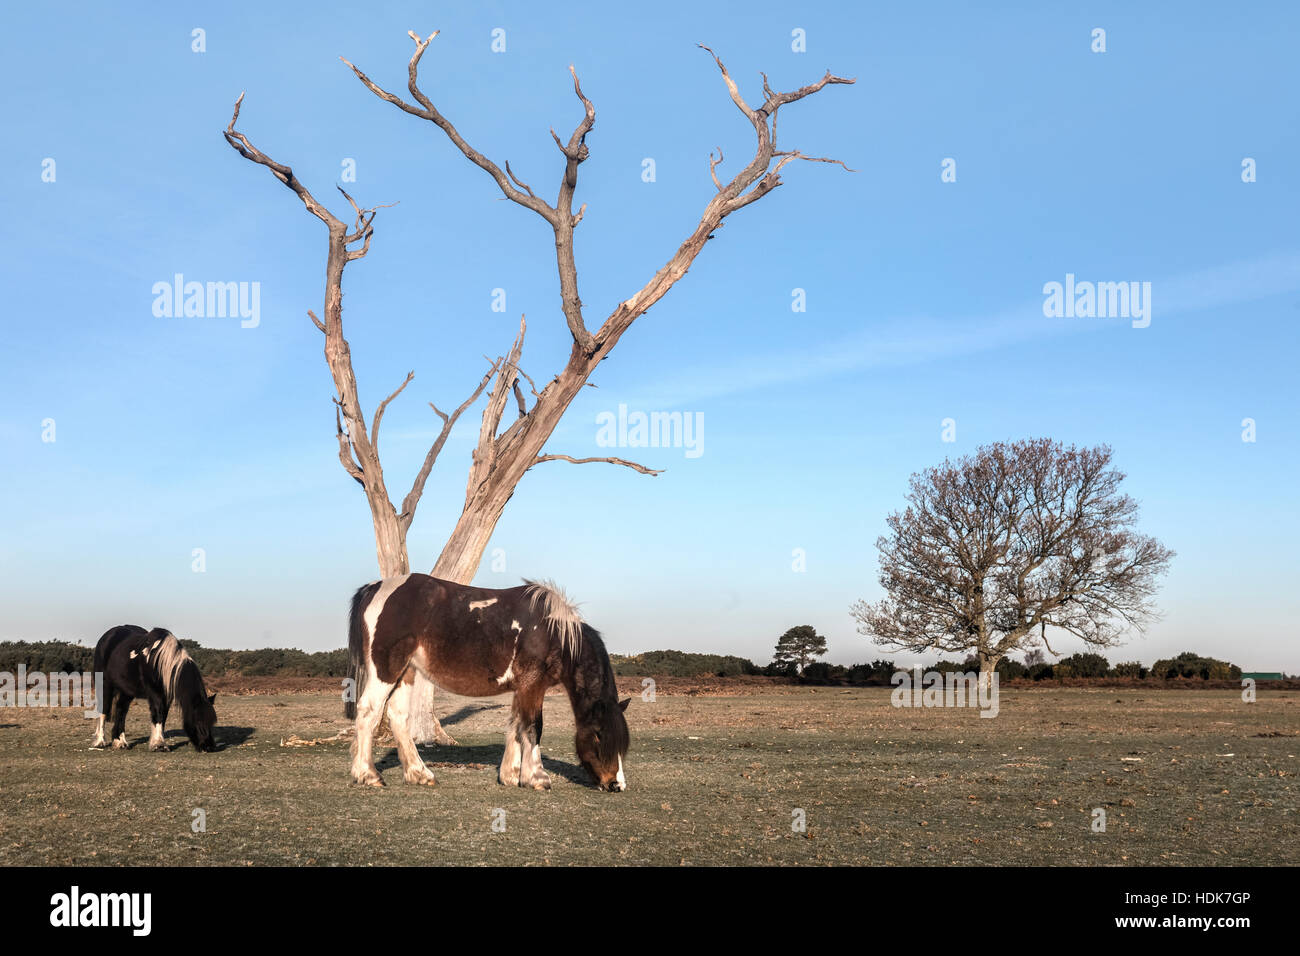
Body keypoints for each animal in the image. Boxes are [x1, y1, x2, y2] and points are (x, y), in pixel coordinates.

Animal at [346, 574, 630, 791]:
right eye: (599, 734)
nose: (616, 784)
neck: (554, 632)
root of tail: (375, 587)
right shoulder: (533, 685)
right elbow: (533, 727)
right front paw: (537, 778)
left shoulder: (522, 688)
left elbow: (516, 725)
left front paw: (511, 775)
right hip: (386, 670)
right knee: (368, 712)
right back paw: (368, 775)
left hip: (406, 672)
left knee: (398, 717)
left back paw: (419, 774)